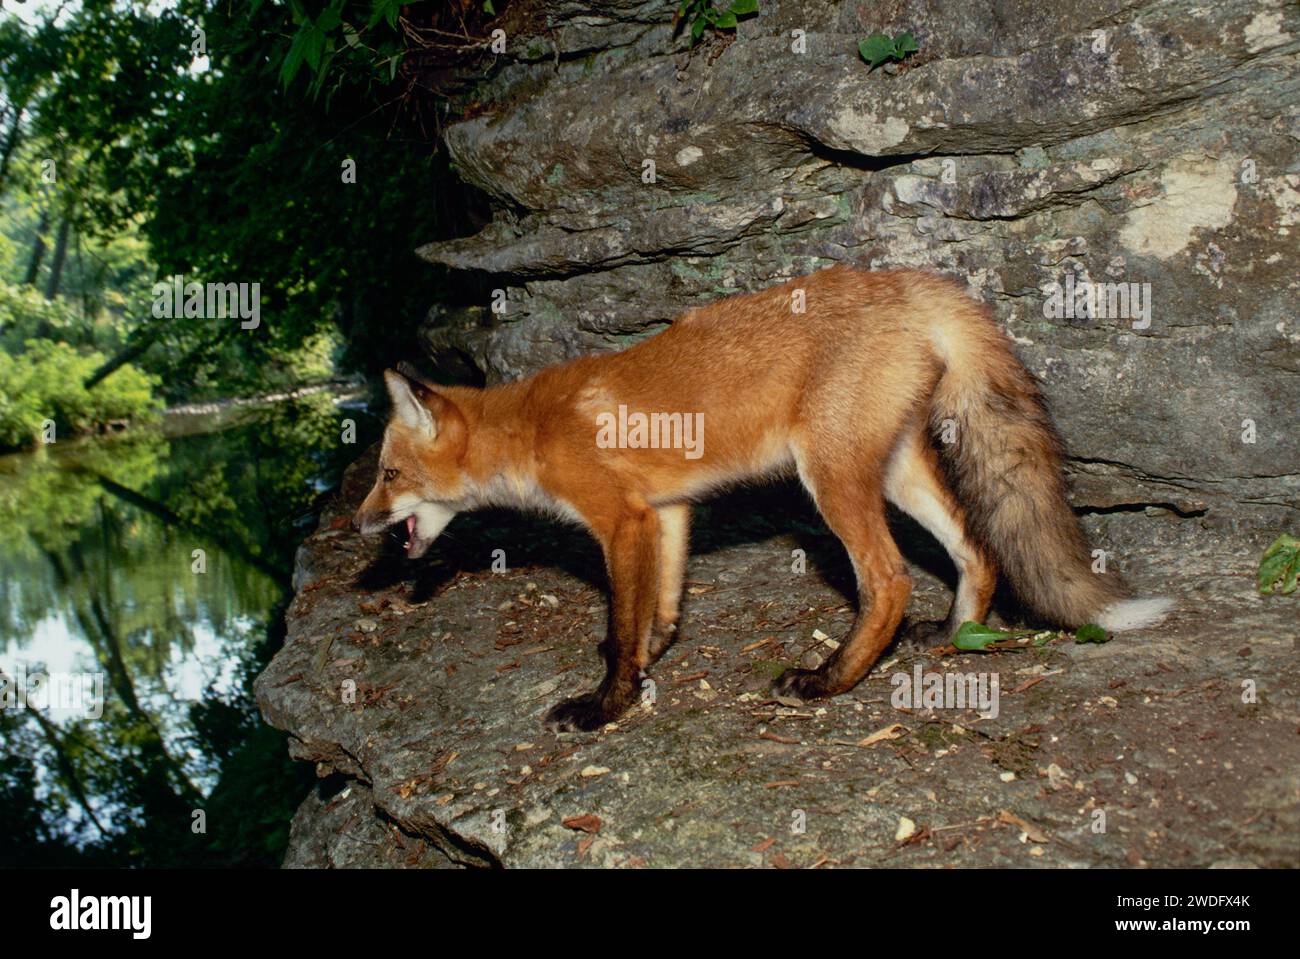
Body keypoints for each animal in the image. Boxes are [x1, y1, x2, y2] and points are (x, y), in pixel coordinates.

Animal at [353, 265, 1172, 732]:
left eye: (387, 475)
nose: (360, 525)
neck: (531, 426)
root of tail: (912, 281)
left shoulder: (621, 520)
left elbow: (622, 622)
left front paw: (605, 705)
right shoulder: (668, 513)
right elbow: (661, 612)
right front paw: (646, 665)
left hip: (830, 478)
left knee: (889, 580)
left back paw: (828, 680)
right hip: (897, 471)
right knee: (975, 548)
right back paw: (951, 633)